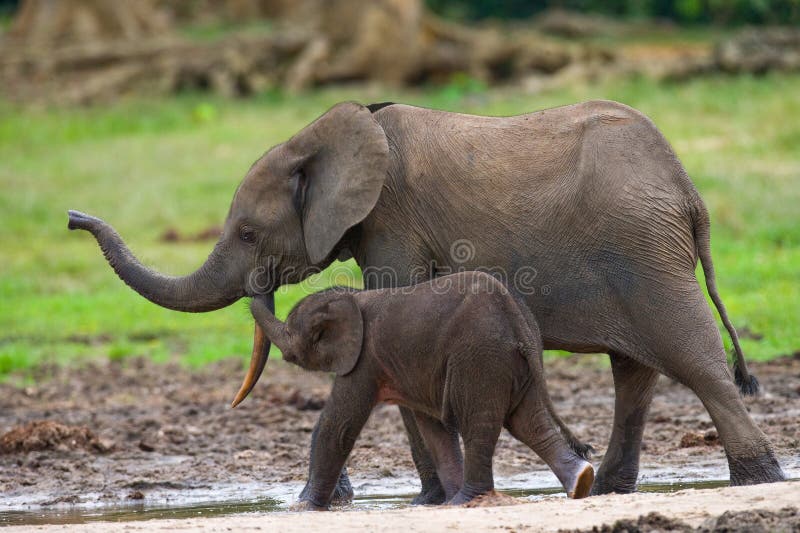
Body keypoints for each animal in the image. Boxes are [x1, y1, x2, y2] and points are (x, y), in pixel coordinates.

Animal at [249, 271, 595, 508]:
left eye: (291, 332)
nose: (254, 291)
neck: (353, 297)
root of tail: (515, 317)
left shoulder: (363, 360)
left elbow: (339, 424)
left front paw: (302, 508)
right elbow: (433, 430)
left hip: (480, 358)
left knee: (479, 425)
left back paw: (466, 500)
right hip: (516, 362)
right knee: (530, 423)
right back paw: (581, 481)